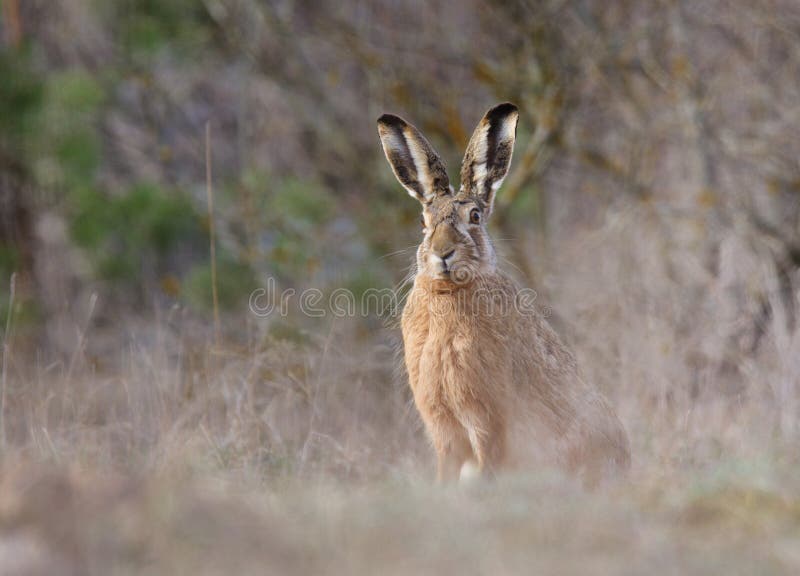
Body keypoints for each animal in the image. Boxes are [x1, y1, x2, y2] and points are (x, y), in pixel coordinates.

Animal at [377, 102, 630, 484]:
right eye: (424, 223)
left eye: (475, 216)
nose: (442, 252)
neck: (448, 291)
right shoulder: (443, 424)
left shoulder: (485, 415)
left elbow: (487, 457)